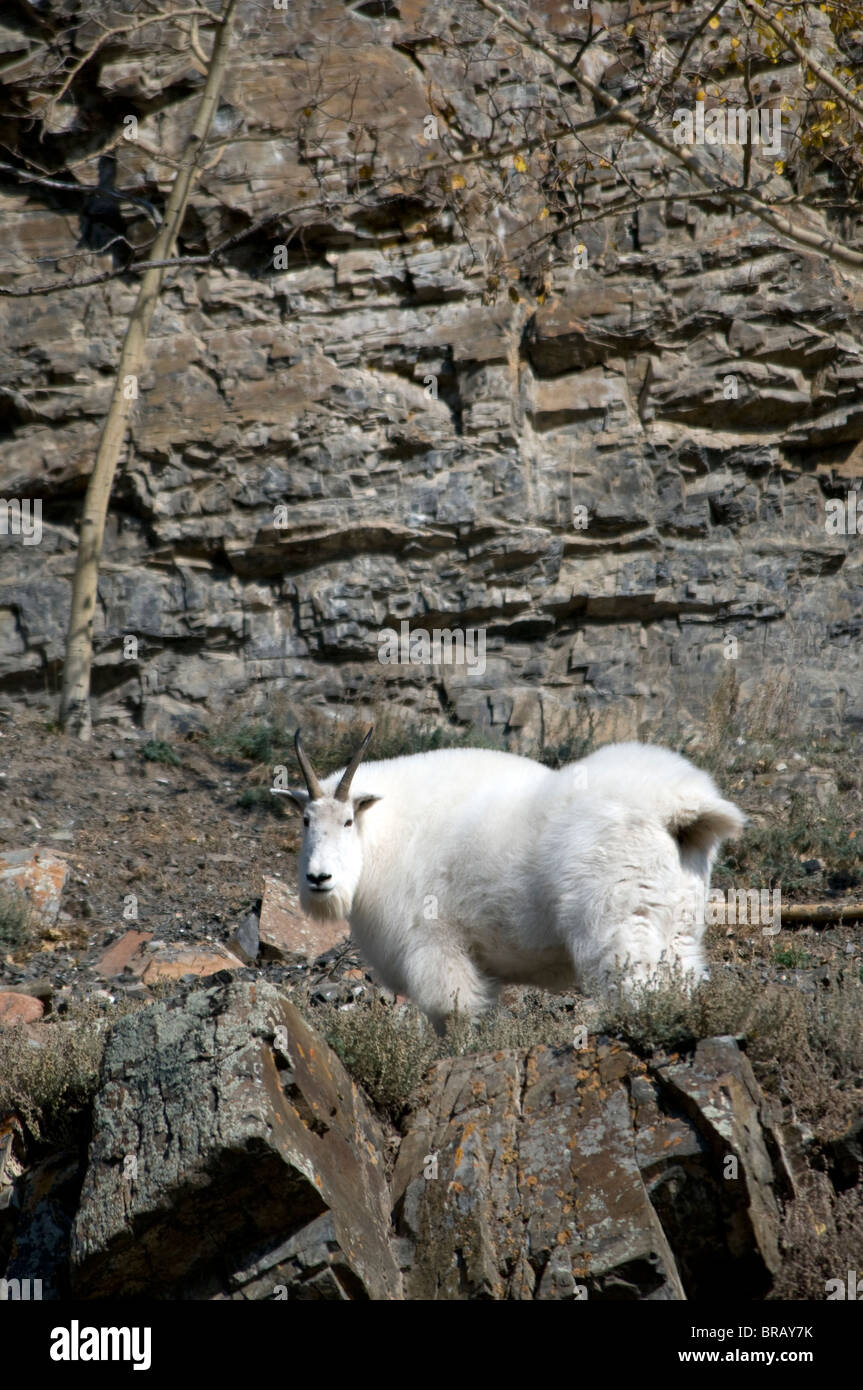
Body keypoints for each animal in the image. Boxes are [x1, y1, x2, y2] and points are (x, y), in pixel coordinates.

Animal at [276, 728, 744, 1032]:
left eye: (348, 820)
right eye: (305, 820)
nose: (319, 878)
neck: (387, 834)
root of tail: (680, 808)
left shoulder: (436, 944)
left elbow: (454, 1020)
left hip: (625, 922)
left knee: (639, 987)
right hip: (678, 924)